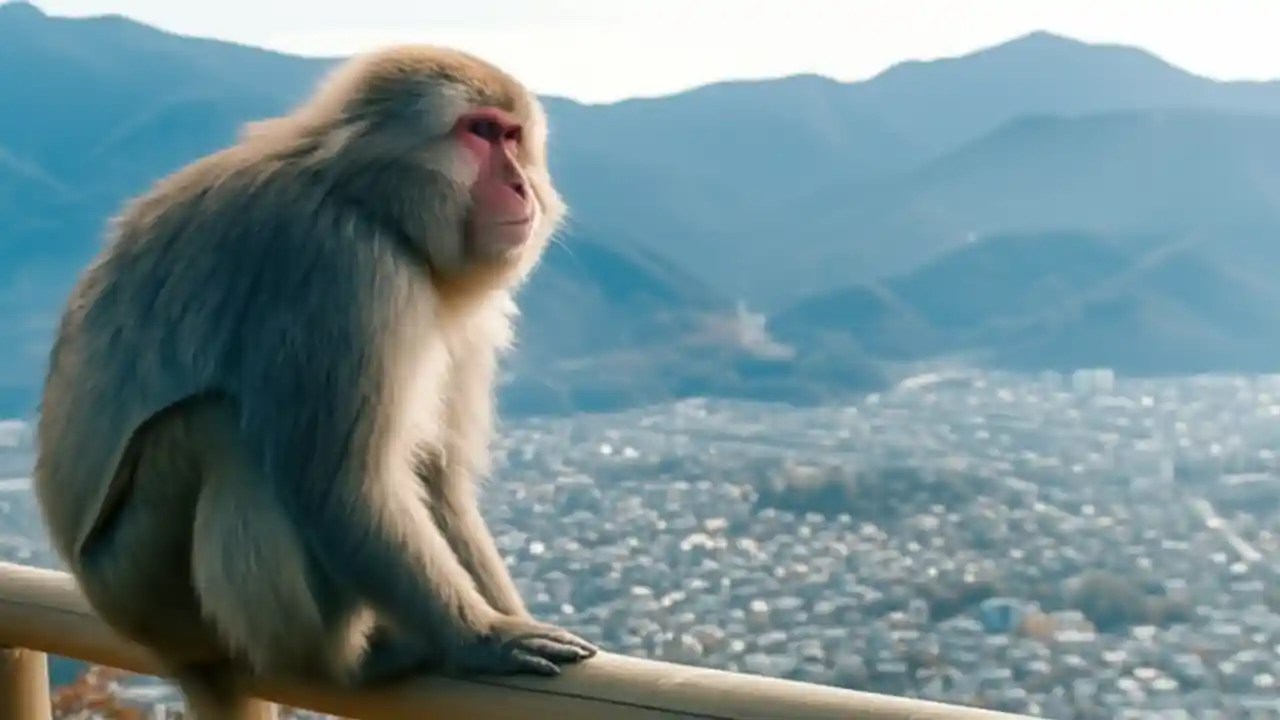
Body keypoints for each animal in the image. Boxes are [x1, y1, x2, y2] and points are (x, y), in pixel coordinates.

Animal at [32, 45, 597, 719]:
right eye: (479, 132)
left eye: (512, 137)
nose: (520, 184)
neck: (370, 203)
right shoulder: (343, 271)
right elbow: (342, 486)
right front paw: (483, 637)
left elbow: (435, 475)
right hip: (145, 586)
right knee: (218, 432)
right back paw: (343, 658)